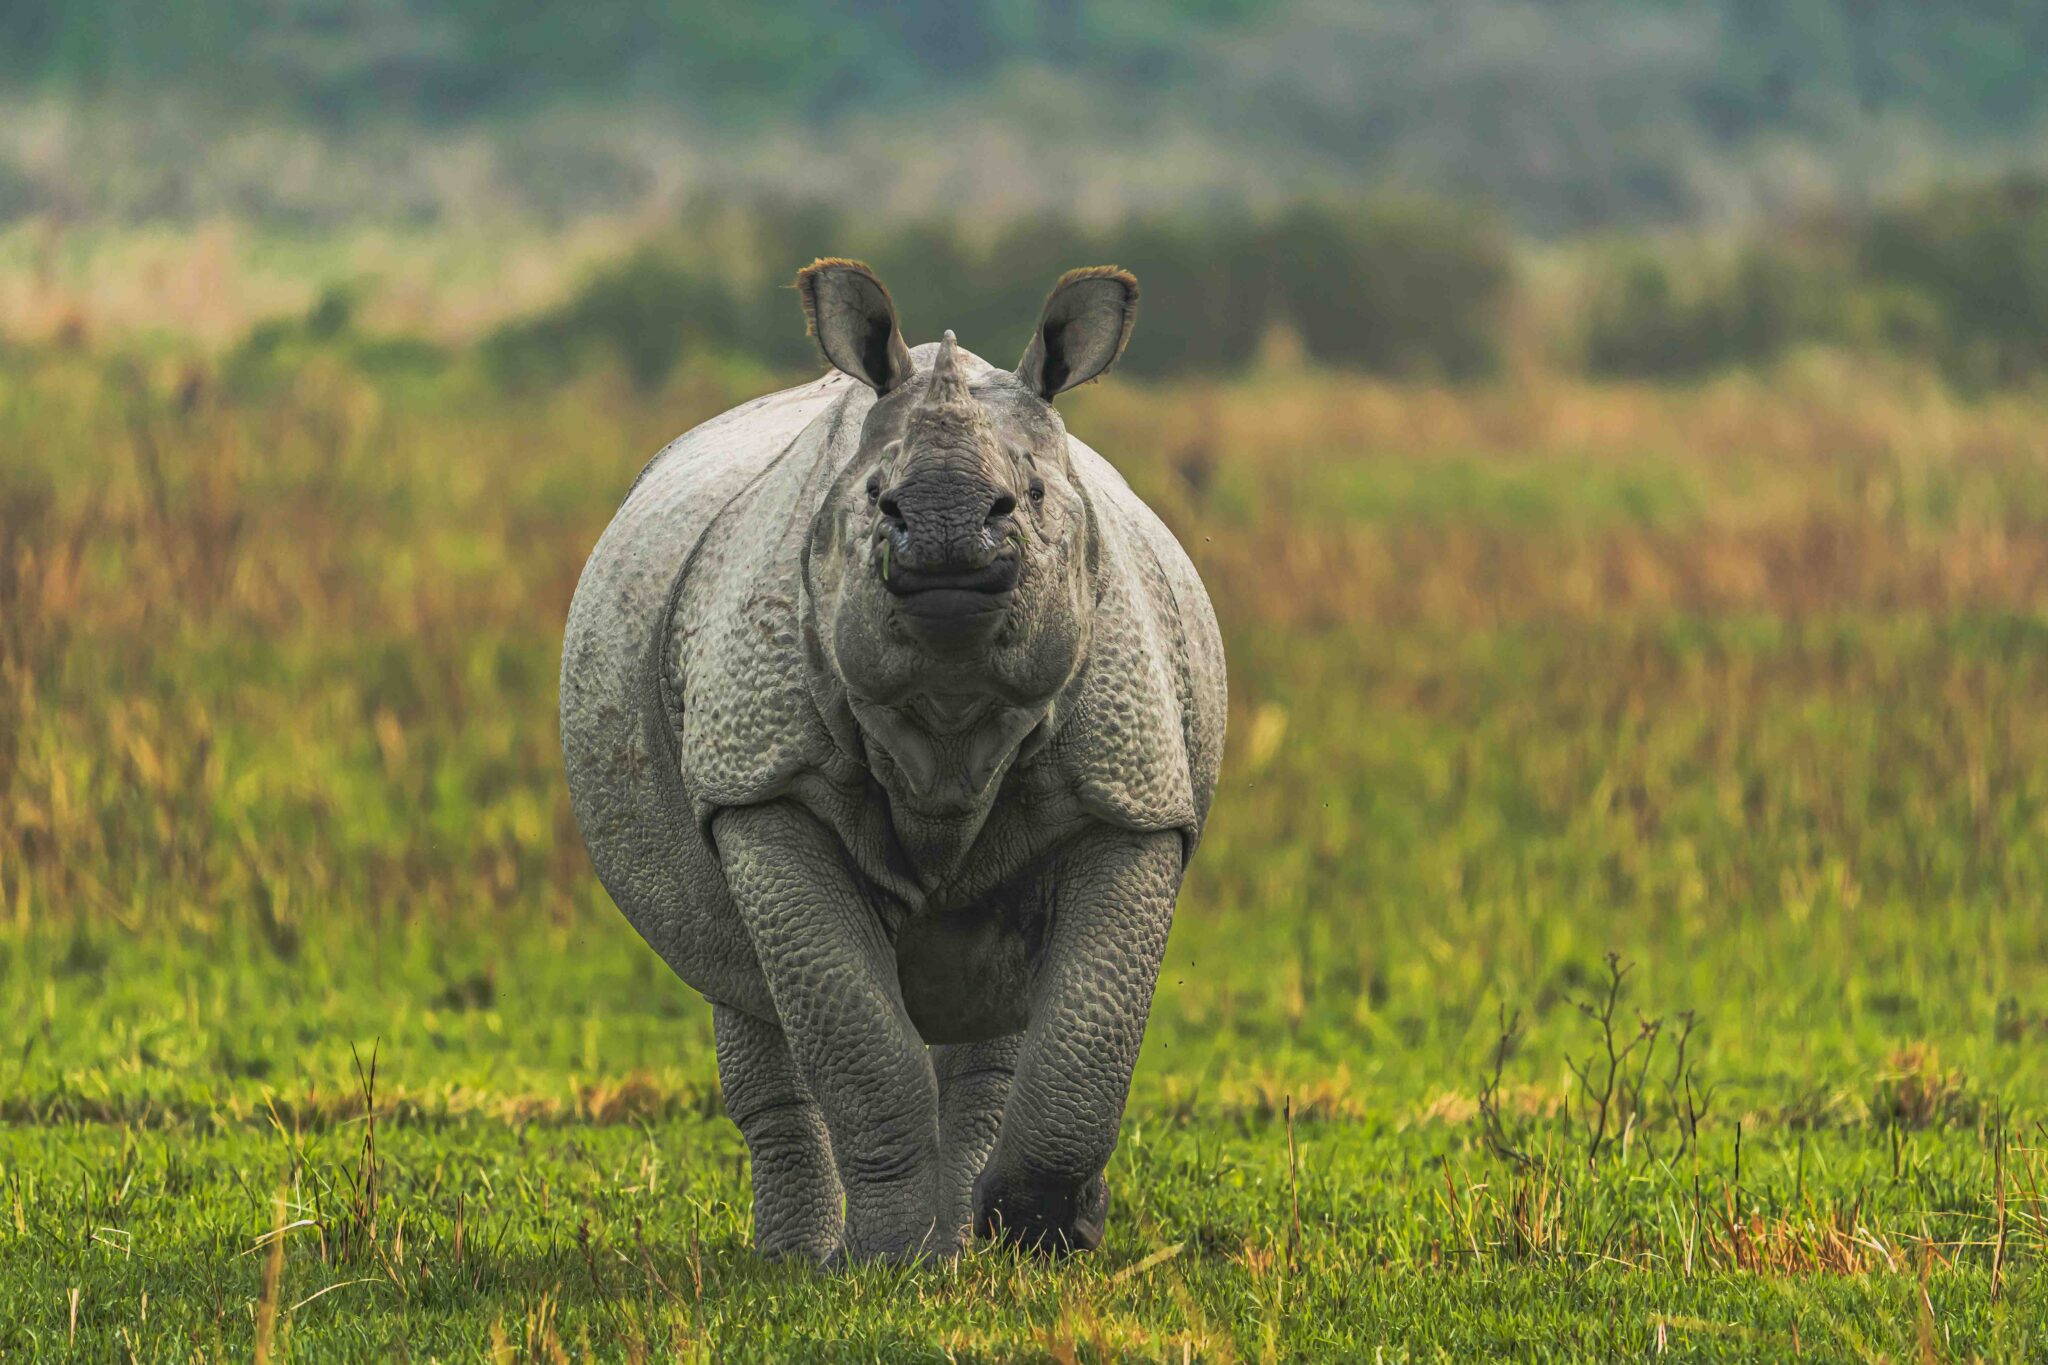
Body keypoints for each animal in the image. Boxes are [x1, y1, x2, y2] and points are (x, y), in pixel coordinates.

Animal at [559, 259, 1225, 1263]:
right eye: (876, 498)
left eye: (1031, 495)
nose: (946, 528)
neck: (948, 721)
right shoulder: (765, 784)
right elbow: (857, 1033)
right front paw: (884, 1261)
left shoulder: (1131, 793)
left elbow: (1089, 1027)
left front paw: (1042, 1236)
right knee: (739, 979)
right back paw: (805, 1260)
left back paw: (967, 1242)